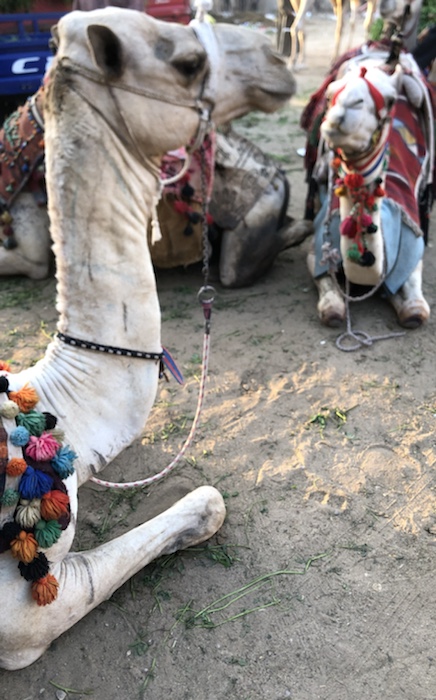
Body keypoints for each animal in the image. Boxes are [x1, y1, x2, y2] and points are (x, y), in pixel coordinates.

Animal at [302, 48, 434, 330]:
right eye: (330, 94)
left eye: (391, 100)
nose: (342, 113)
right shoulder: (318, 248)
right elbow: (332, 309)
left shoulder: (412, 246)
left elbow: (416, 311)